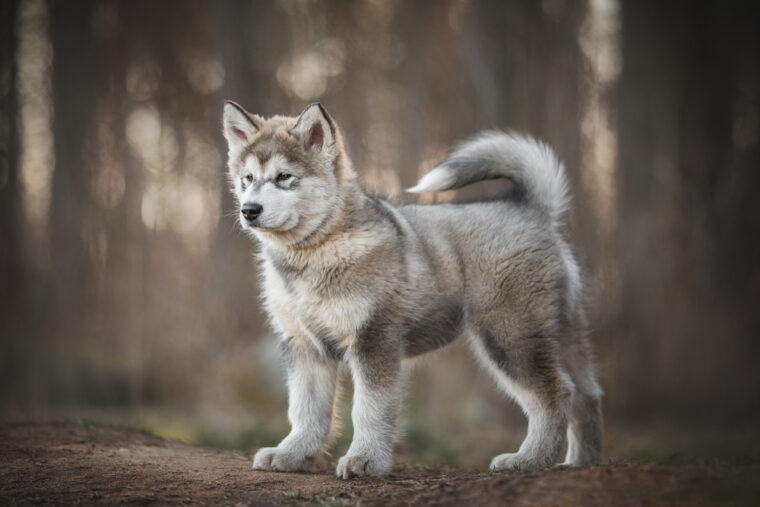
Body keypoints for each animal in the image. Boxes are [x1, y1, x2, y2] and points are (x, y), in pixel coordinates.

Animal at [222, 101, 604, 479]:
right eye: (248, 179)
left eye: (284, 177)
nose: (249, 210)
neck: (314, 253)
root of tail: (530, 208)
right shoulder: (303, 346)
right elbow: (305, 410)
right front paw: (293, 454)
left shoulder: (374, 339)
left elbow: (369, 409)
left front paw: (364, 460)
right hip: (561, 333)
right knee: (587, 393)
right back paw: (581, 462)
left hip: (509, 336)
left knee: (556, 393)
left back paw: (529, 459)